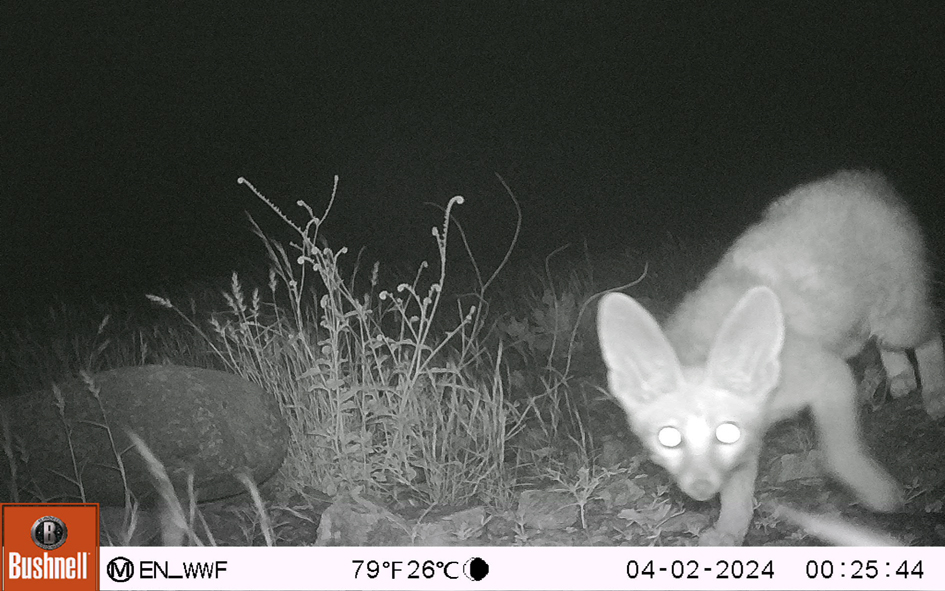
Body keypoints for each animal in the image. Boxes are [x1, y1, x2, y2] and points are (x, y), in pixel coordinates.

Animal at [597, 169, 945, 545]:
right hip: (863, 323)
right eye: (669, 439)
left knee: (929, 333)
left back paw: (934, 393)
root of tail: (861, 177)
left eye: (723, 433)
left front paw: (877, 492)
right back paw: (900, 377)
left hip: (897, 317)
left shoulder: (829, 377)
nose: (700, 489)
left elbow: (839, 453)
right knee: (881, 340)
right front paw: (729, 531)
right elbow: (736, 491)